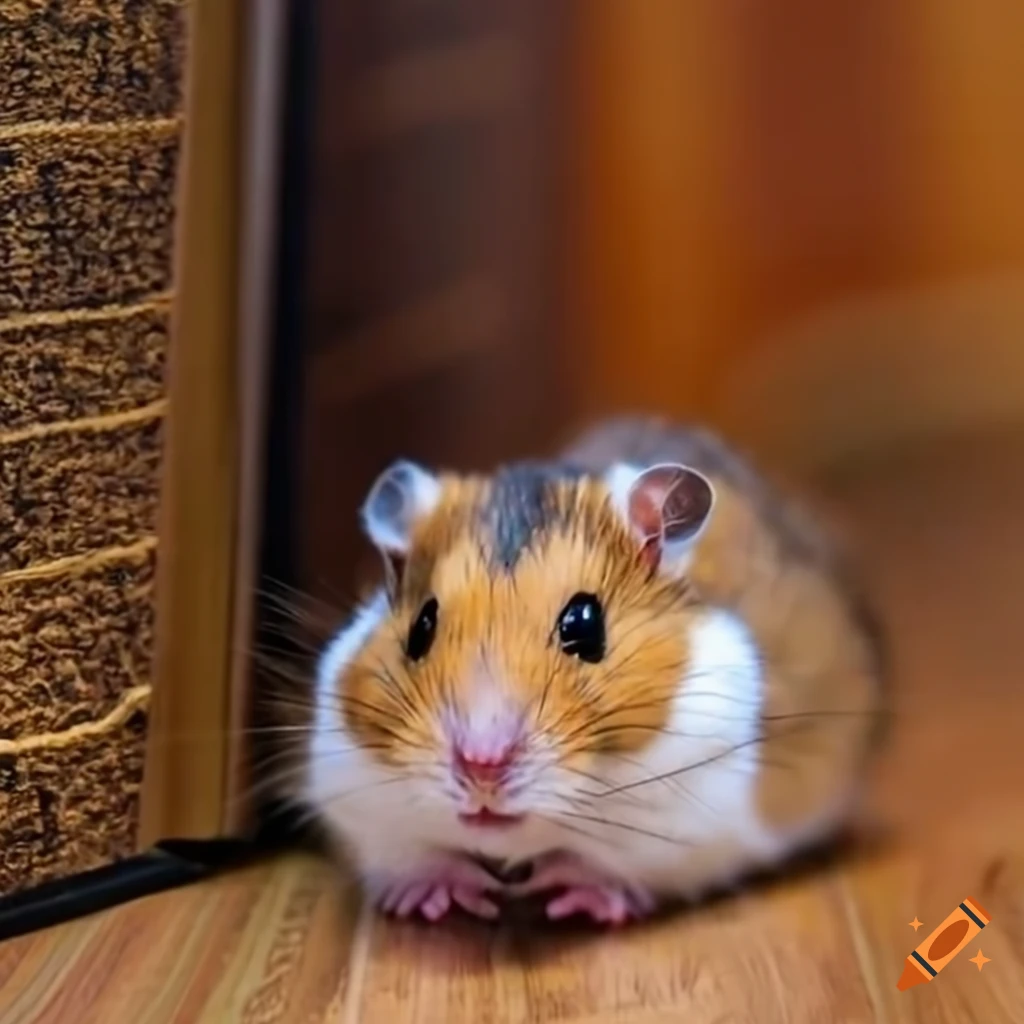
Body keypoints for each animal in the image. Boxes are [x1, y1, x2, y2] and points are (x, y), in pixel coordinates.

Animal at [297, 416, 885, 925]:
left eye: (586, 625)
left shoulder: (698, 817)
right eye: (421, 627)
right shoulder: (358, 793)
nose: (480, 768)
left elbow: (609, 864)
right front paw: (448, 896)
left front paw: (560, 889)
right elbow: (414, 854)